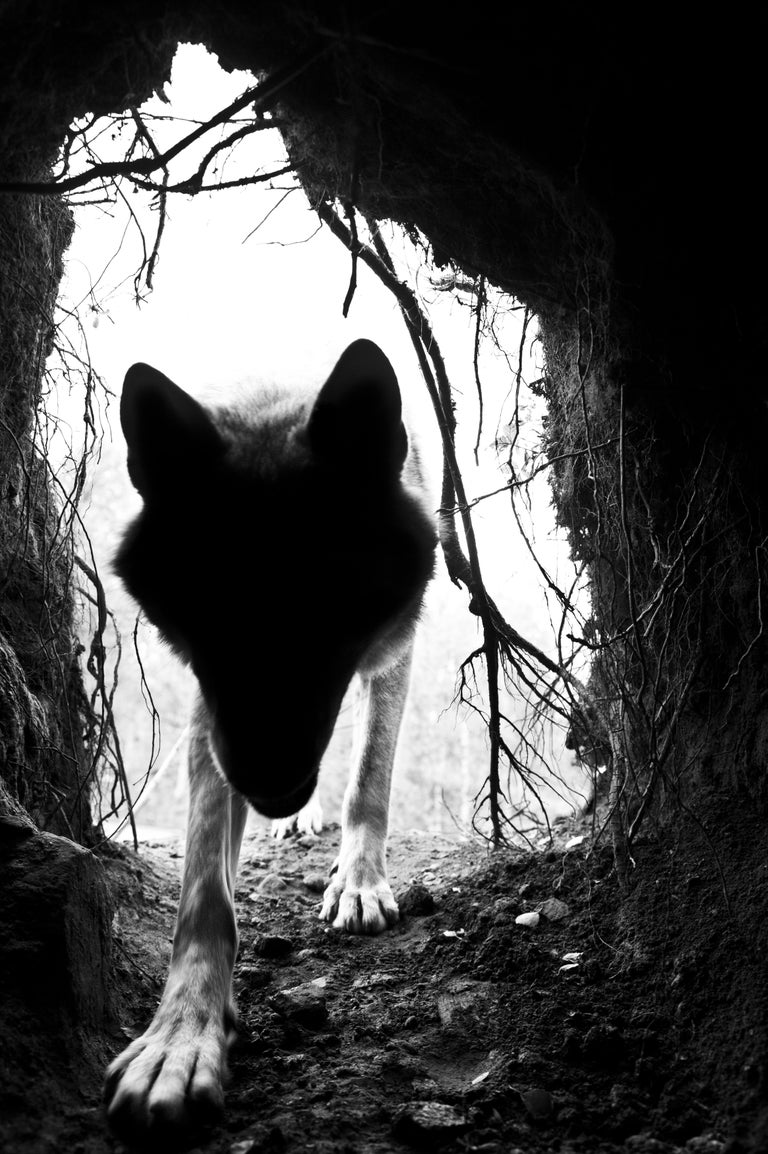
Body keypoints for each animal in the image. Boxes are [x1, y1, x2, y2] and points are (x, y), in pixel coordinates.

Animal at [103, 339, 436, 1145]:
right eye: (210, 619)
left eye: (327, 610)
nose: (266, 778)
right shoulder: (209, 718)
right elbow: (204, 895)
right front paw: (181, 1039)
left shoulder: (393, 650)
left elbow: (369, 778)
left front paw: (360, 879)